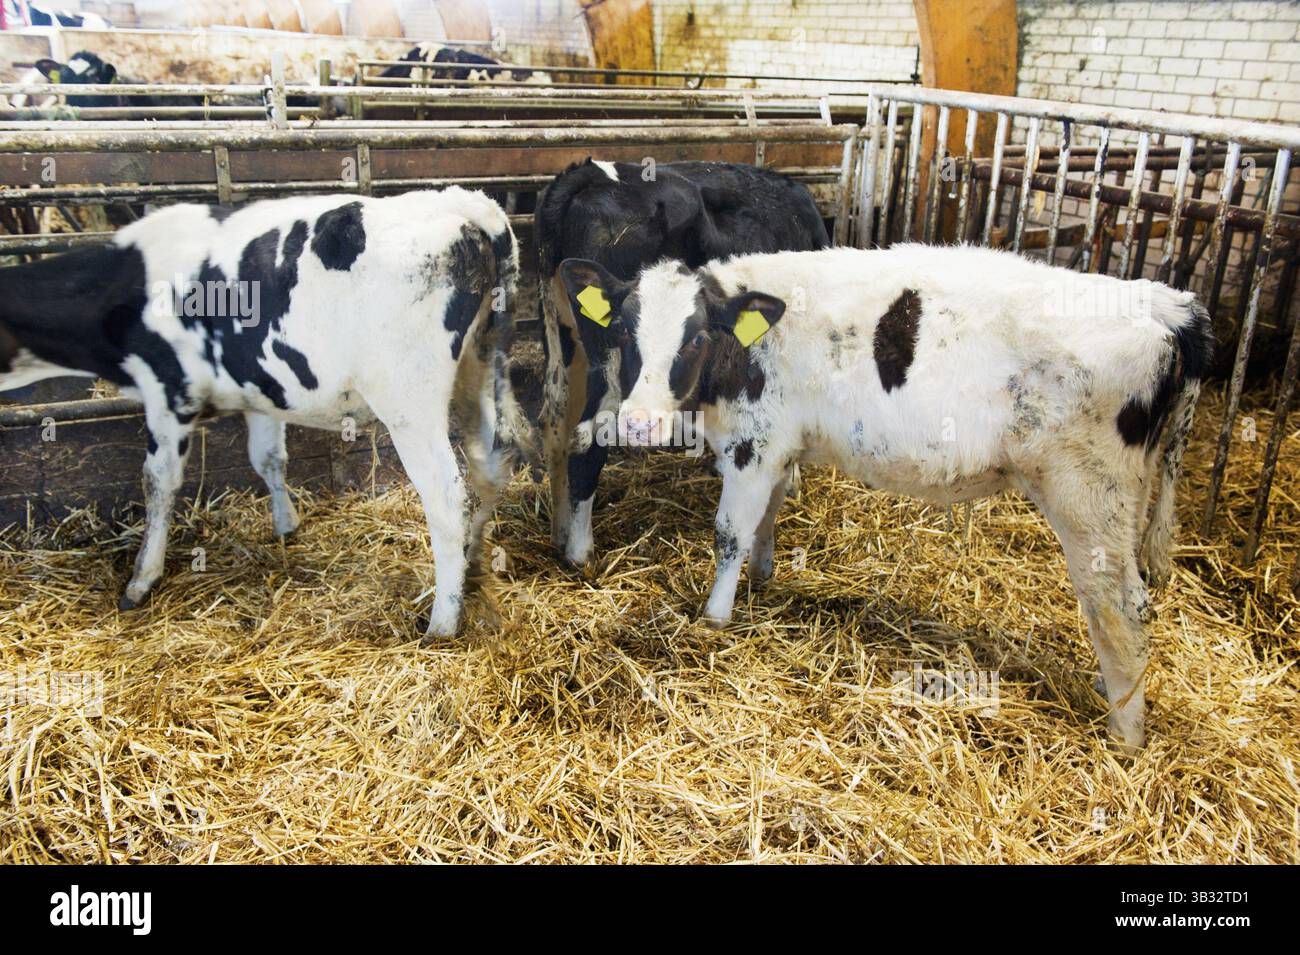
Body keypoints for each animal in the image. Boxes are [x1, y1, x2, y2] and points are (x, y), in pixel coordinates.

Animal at [0, 188, 535, 638]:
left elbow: (158, 482)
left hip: (409, 402)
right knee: (491, 463)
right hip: (479, 367)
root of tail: (467, 206)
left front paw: (140, 580)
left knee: (446, 495)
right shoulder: (263, 387)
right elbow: (268, 458)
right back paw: (472, 566)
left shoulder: (168, 393)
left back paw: (442, 622)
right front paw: (285, 526)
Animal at [536, 158, 830, 568]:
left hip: (562, 340)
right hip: (610, 359)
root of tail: (589, 173)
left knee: (556, 424)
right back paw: (580, 551)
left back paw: (559, 532)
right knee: (589, 435)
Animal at [556, 244, 1211, 750]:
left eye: (694, 339)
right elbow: (767, 518)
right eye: (623, 331)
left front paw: (715, 618)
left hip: (1087, 493)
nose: (639, 423)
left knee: (1121, 606)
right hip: (1129, 495)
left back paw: (1125, 735)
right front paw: (764, 578)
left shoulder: (753, 443)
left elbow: (730, 534)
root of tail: (1165, 304)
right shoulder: (783, 445)